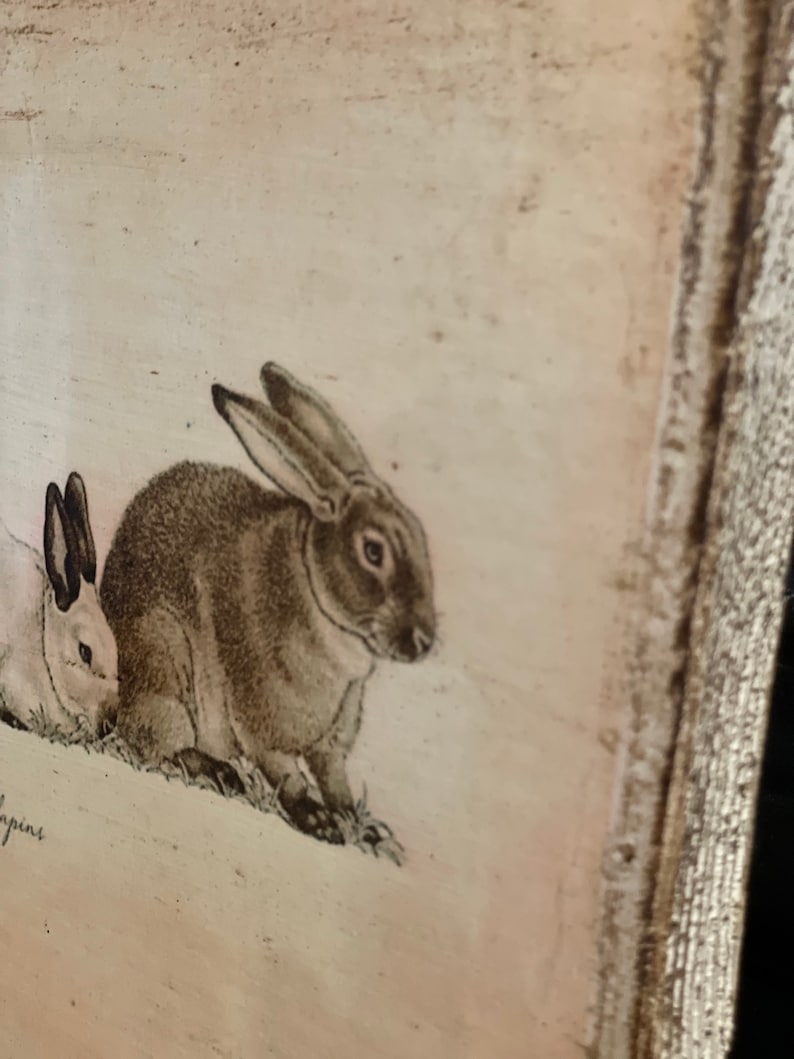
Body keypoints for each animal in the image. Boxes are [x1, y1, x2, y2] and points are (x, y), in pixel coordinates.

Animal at [100, 363, 436, 843]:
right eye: (373, 551)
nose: (424, 641)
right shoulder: (260, 717)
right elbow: (285, 773)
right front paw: (319, 822)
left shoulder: (331, 744)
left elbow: (335, 780)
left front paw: (361, 828)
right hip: (163, 659)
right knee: (154, 741)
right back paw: (218, 772)